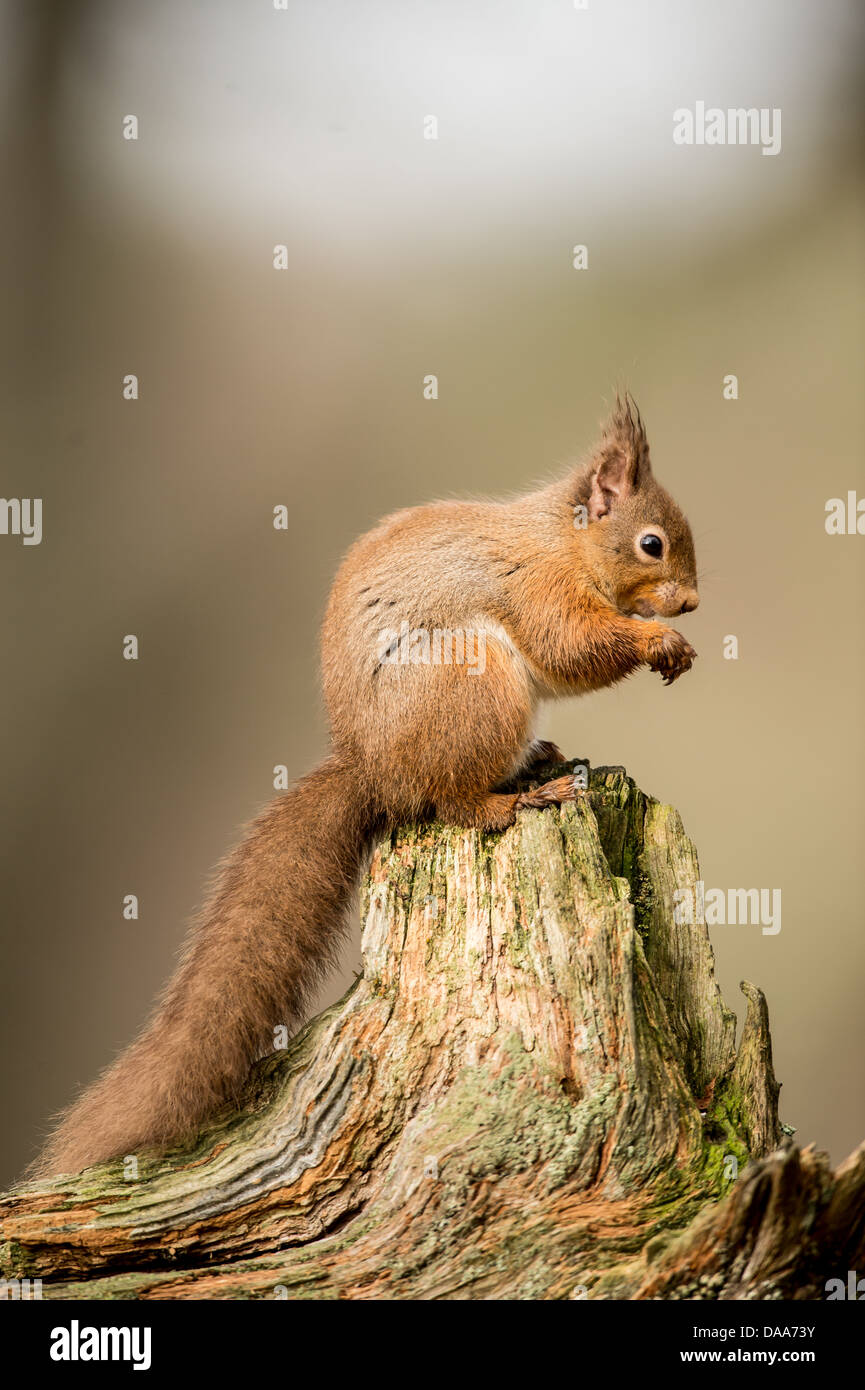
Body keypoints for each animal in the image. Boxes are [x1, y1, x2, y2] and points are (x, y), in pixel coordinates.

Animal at [33, 396, 698, 1178]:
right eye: (652, 544)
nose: (689, 603)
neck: (563, 541)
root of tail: (372, 770)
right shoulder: (537, 587)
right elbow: (573, 646)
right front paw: (656, 641)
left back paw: (536, 761)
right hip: (473, 684)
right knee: (457, 805)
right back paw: (521, 796)